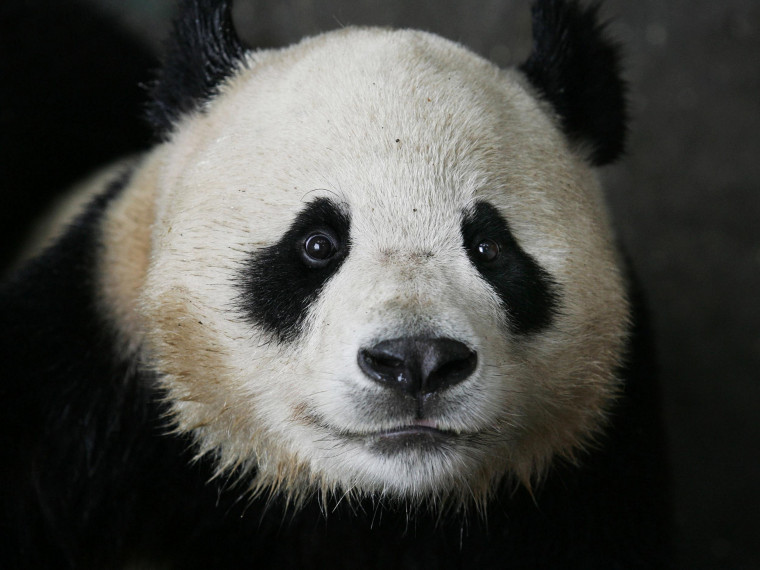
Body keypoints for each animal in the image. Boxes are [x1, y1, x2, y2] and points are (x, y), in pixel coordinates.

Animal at [0, 0, 670, 567]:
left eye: (490, 247)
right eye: (318, 244)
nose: (417, 361)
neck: (372, 503)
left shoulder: (588, 469)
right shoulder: (92, 377)